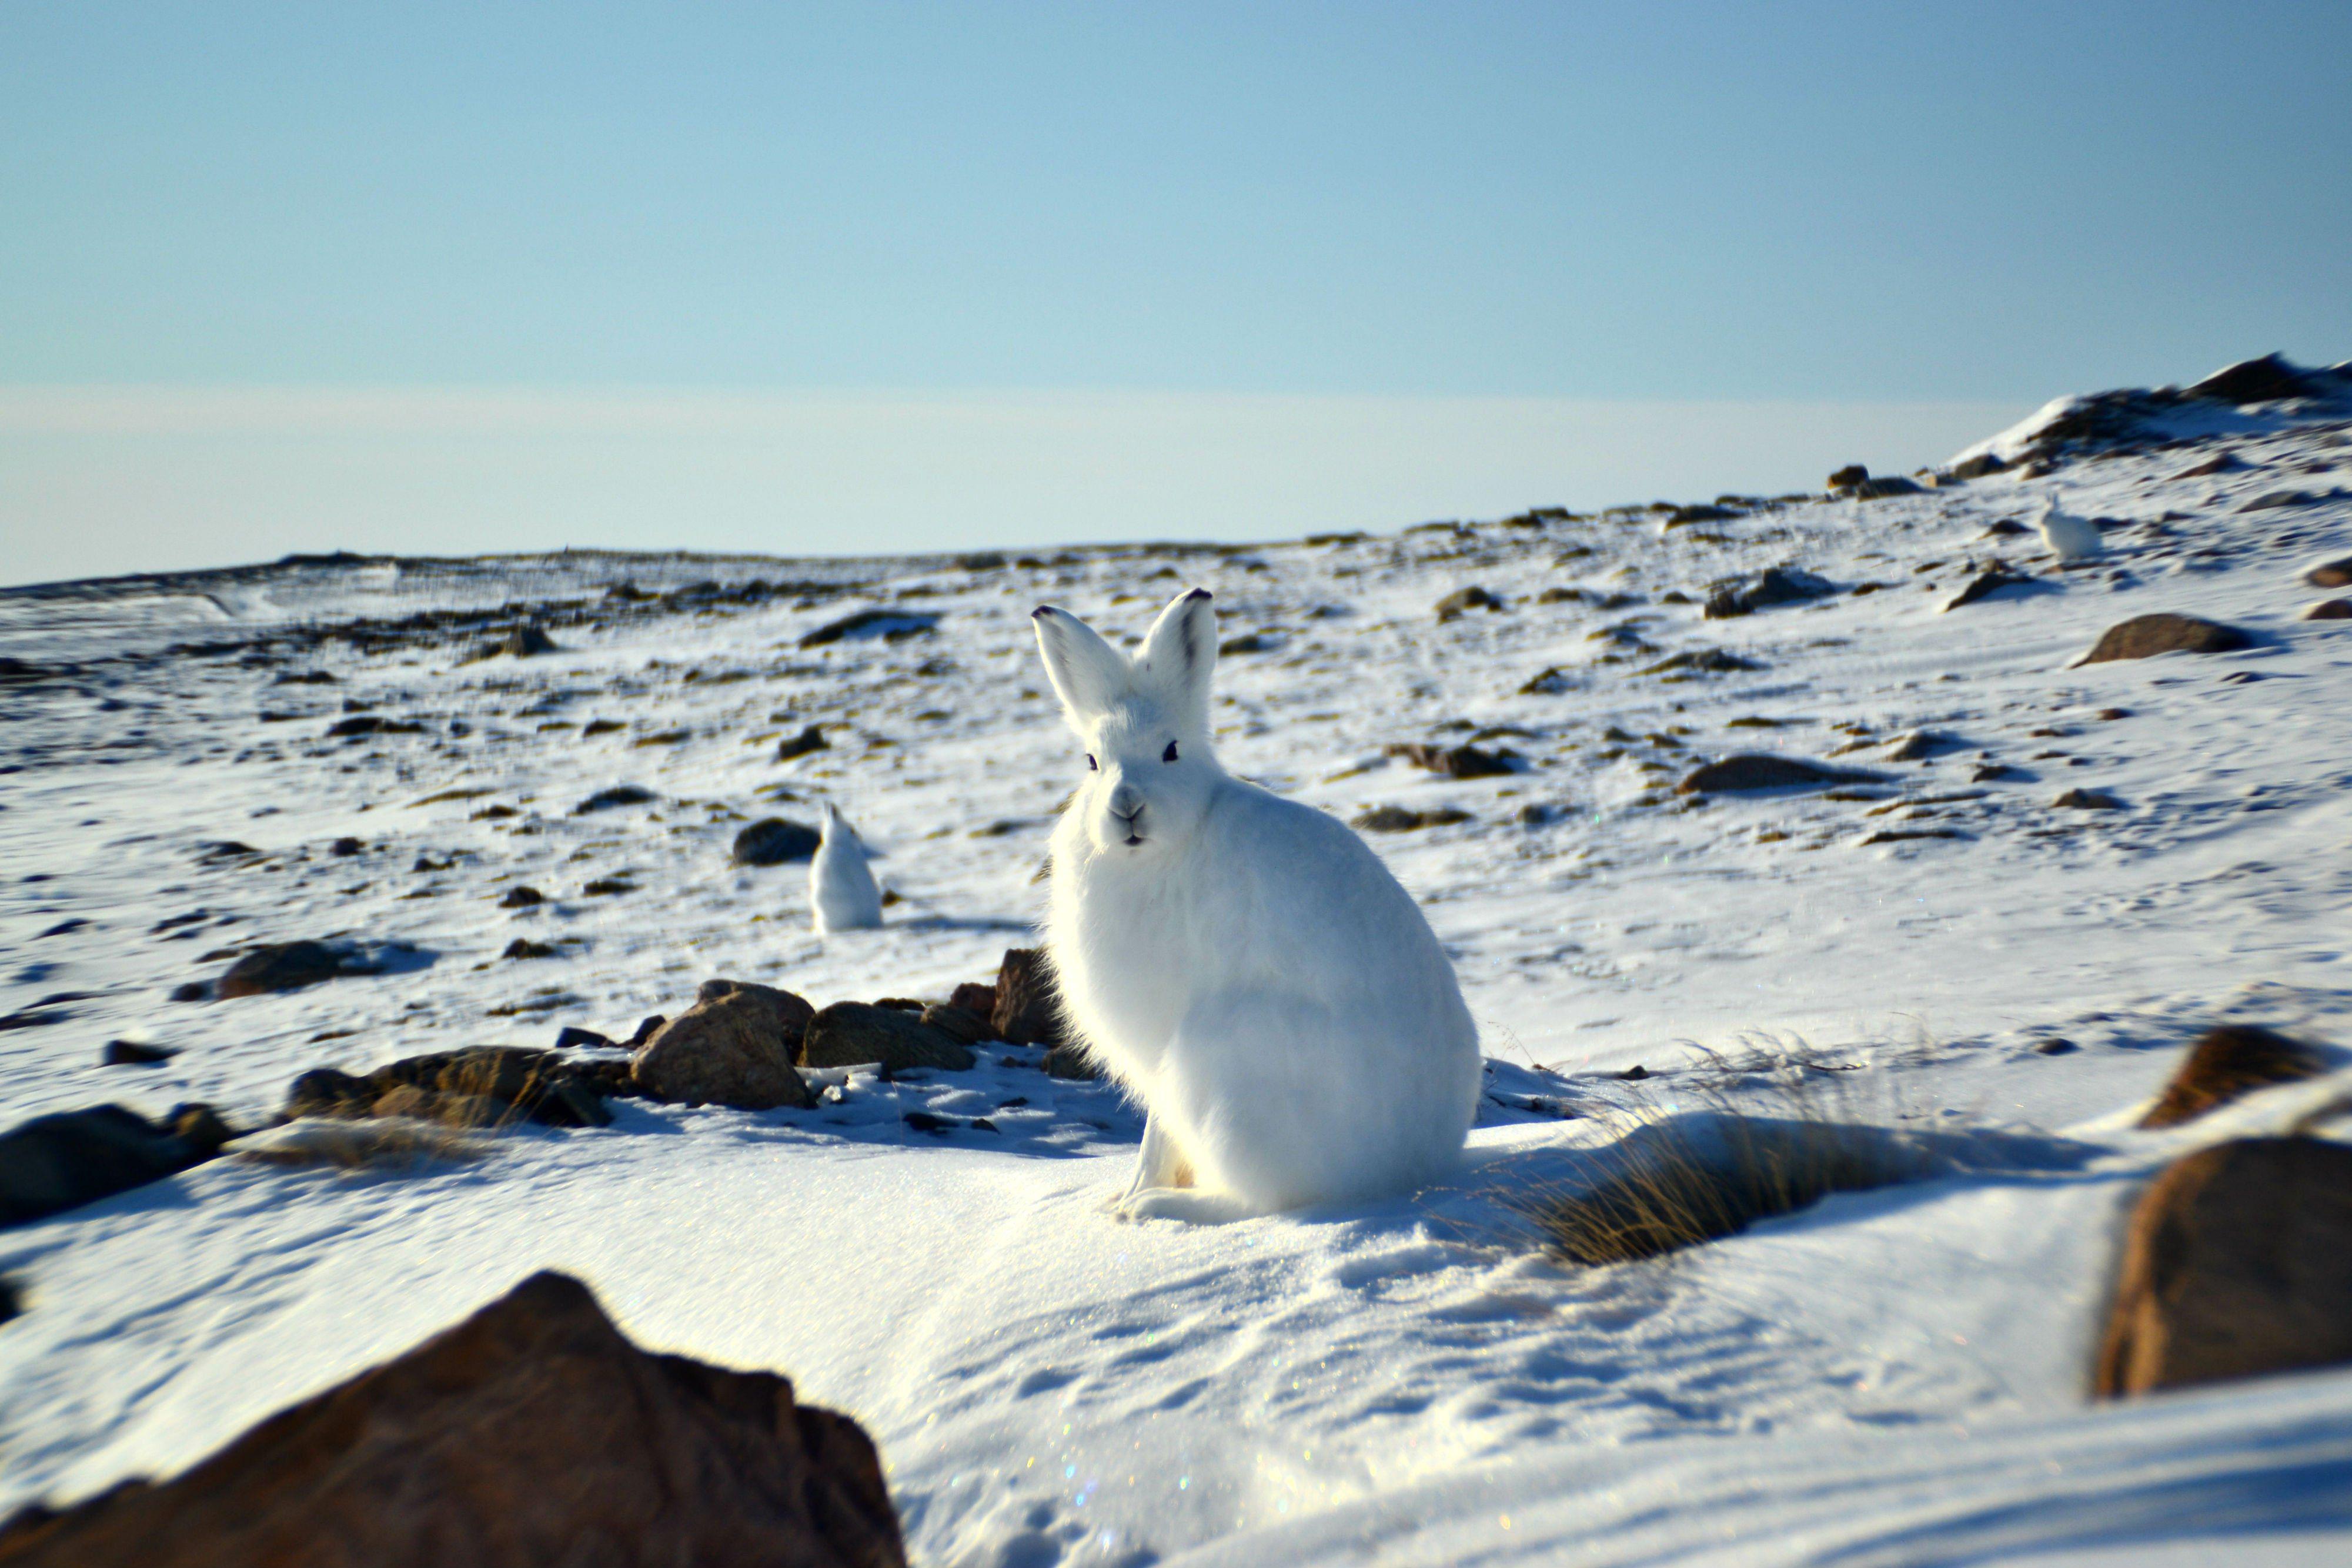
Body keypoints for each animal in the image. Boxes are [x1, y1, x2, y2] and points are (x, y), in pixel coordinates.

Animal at [1031, 587, 1484, 1222]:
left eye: (1170, 751)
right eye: (1092, 761)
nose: (1126, 807)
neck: (1165, 845)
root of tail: (1406, 1169)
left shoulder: (1160, 1041)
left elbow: (1156, 1133)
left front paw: (1129, 1200)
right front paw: (1115, 1199)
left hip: (1221, 1066)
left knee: (1262, 1200)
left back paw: (1161, 1207)